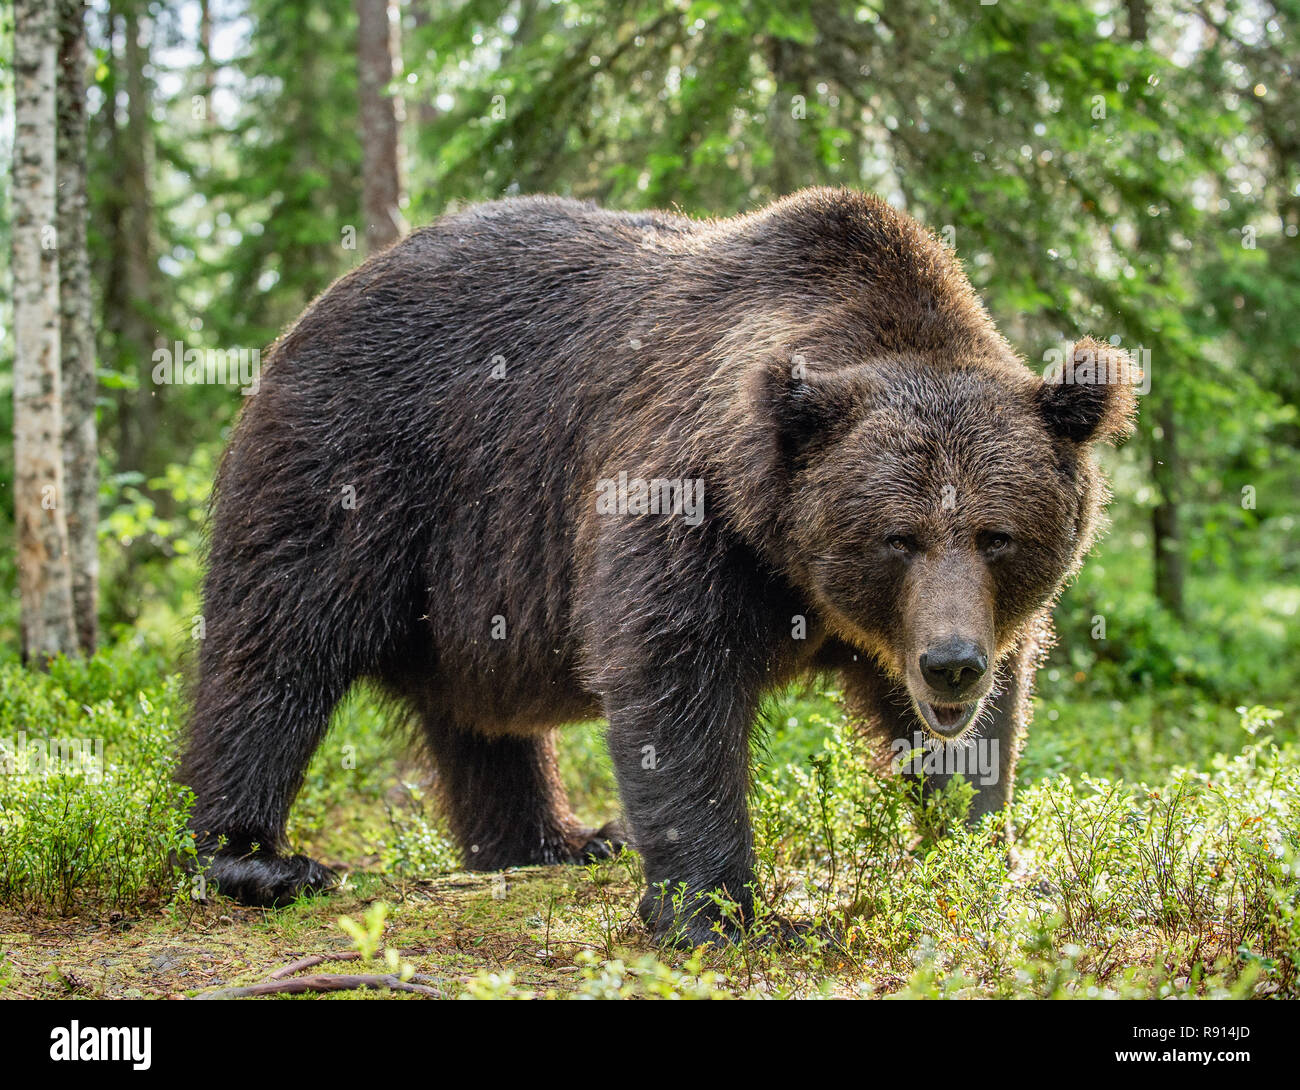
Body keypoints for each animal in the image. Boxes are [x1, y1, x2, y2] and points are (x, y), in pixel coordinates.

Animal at [180, 187, 1137, 945]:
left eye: (997, 535)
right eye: (895, 537)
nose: (950, 664)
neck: (789, 558)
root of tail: (311, 312)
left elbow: (983, 731)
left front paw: (982, 854)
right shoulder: (683, 500)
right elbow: (675, 683)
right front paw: (724, 913)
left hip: (467, 591)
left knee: (478, 718)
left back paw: (559, 840)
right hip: (363, 471)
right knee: (277, 647)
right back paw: (255, 858)